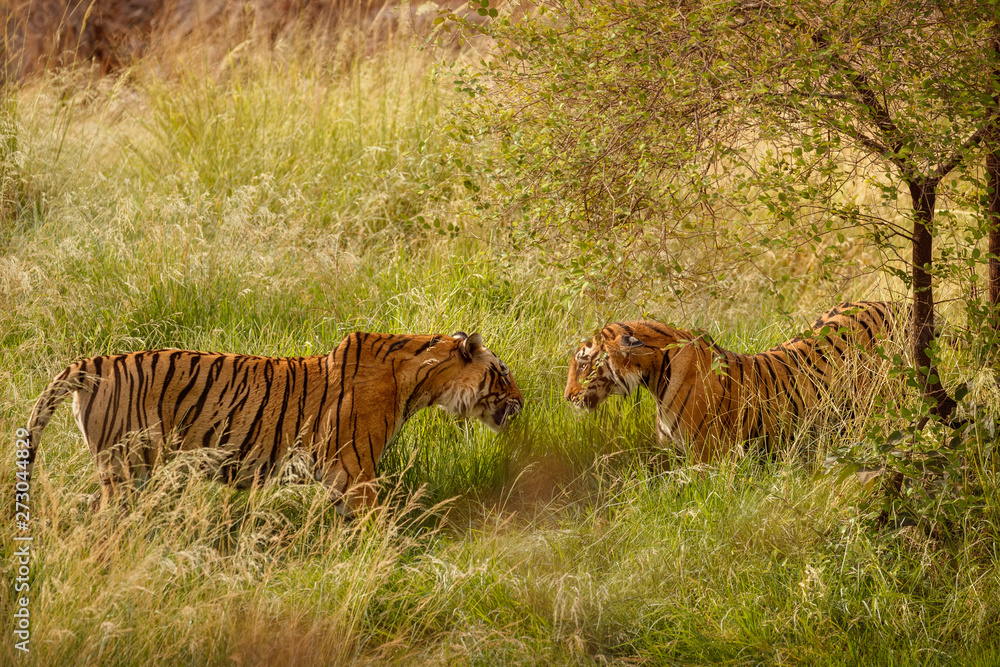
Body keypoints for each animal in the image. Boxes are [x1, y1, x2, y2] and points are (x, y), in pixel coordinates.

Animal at [25, 331, 523, 518]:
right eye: (503, 373)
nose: (522, 402)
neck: (421, 381)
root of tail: (93, 361)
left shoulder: (341, 480)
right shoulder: (357, 472)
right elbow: (377, 526)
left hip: (125, 471)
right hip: (127, 469)